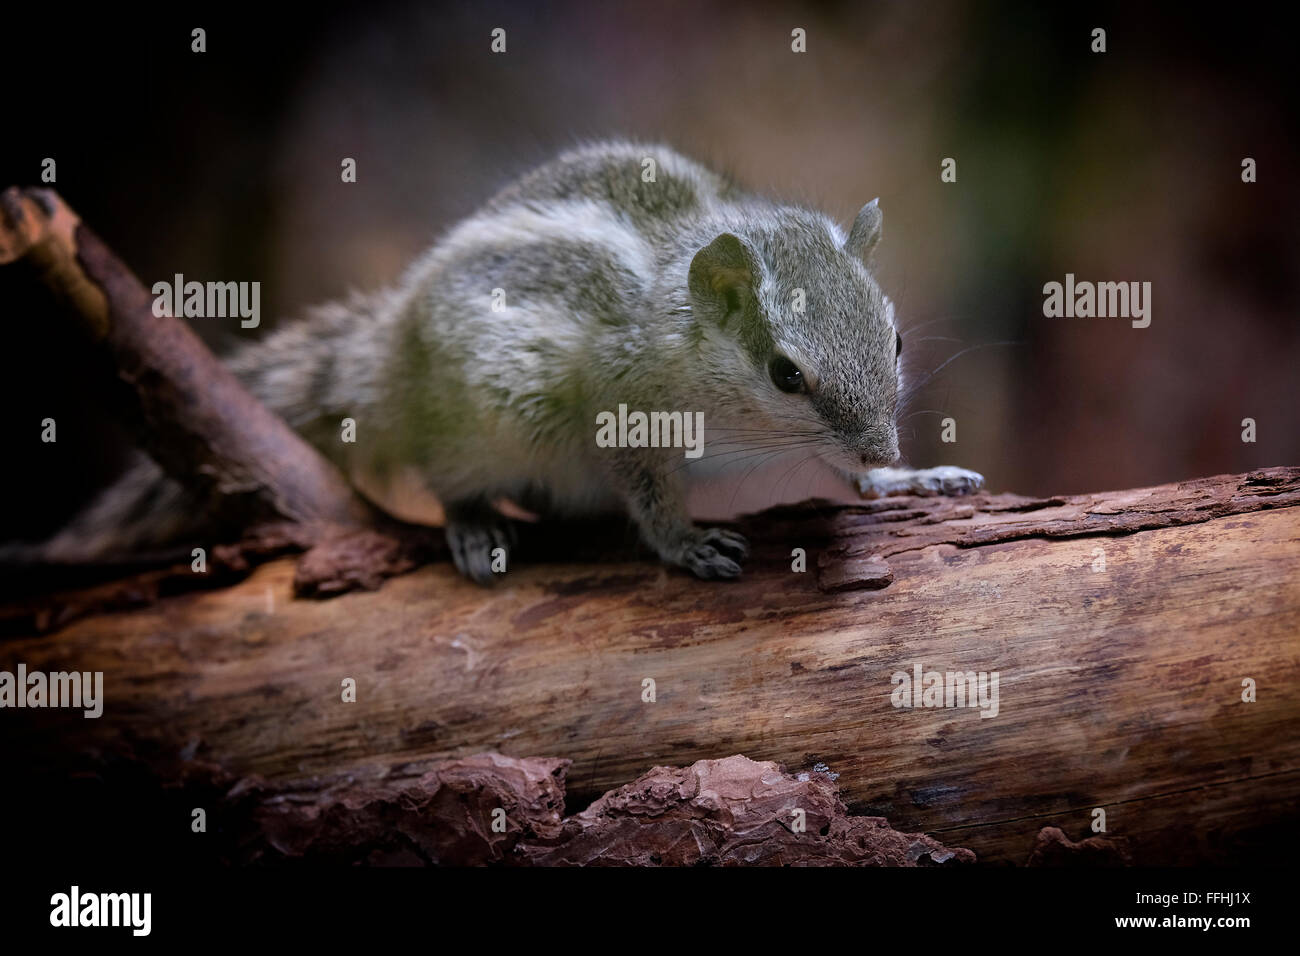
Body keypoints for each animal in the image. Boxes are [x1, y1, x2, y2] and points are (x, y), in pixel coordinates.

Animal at [37, 140, 983, 583]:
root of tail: (388, 354)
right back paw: (473, 523)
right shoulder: (619, 409)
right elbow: (645, 491)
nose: (886, 444)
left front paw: (906, 478)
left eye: (896, 340)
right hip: (488, 421)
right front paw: (683, 542)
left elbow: (846, 475)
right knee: (446, 475)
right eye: (788, 373)